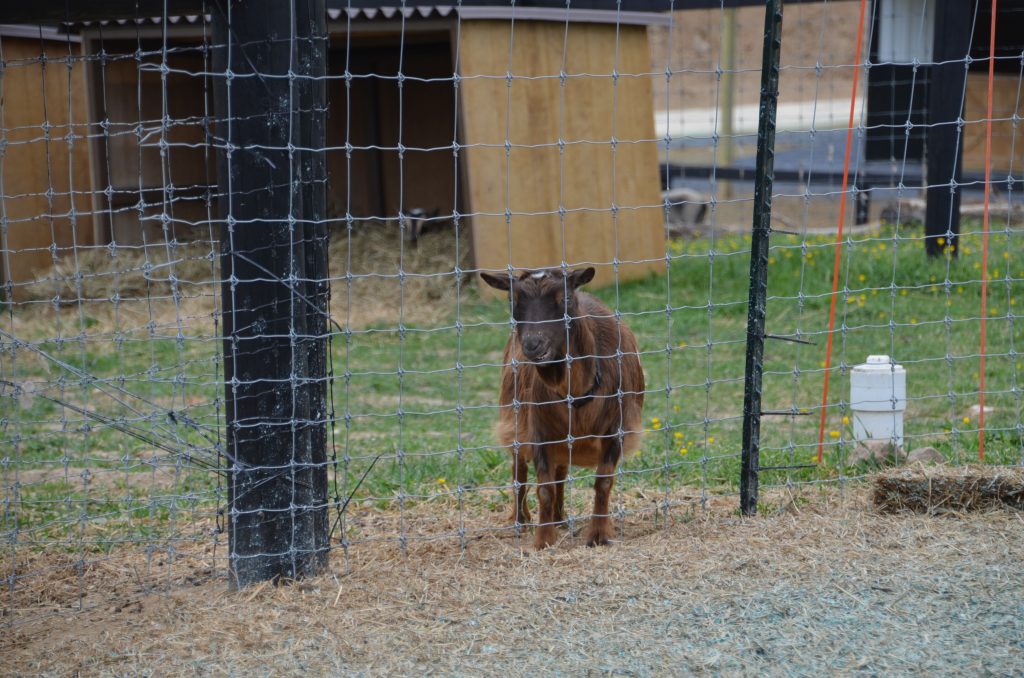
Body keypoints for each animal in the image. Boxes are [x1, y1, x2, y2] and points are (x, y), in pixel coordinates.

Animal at [481, 267, 645, 549]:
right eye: (513, 300)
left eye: (565, 298)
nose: (533, 345)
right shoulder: (538, 430)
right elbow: (543, 489)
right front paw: (543, 540)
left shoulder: (616, 429)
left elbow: (603, 483)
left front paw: (598, 535)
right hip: (515, 418)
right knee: (518, 471)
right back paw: (521, 520)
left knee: (560, 472)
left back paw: (559, 517)